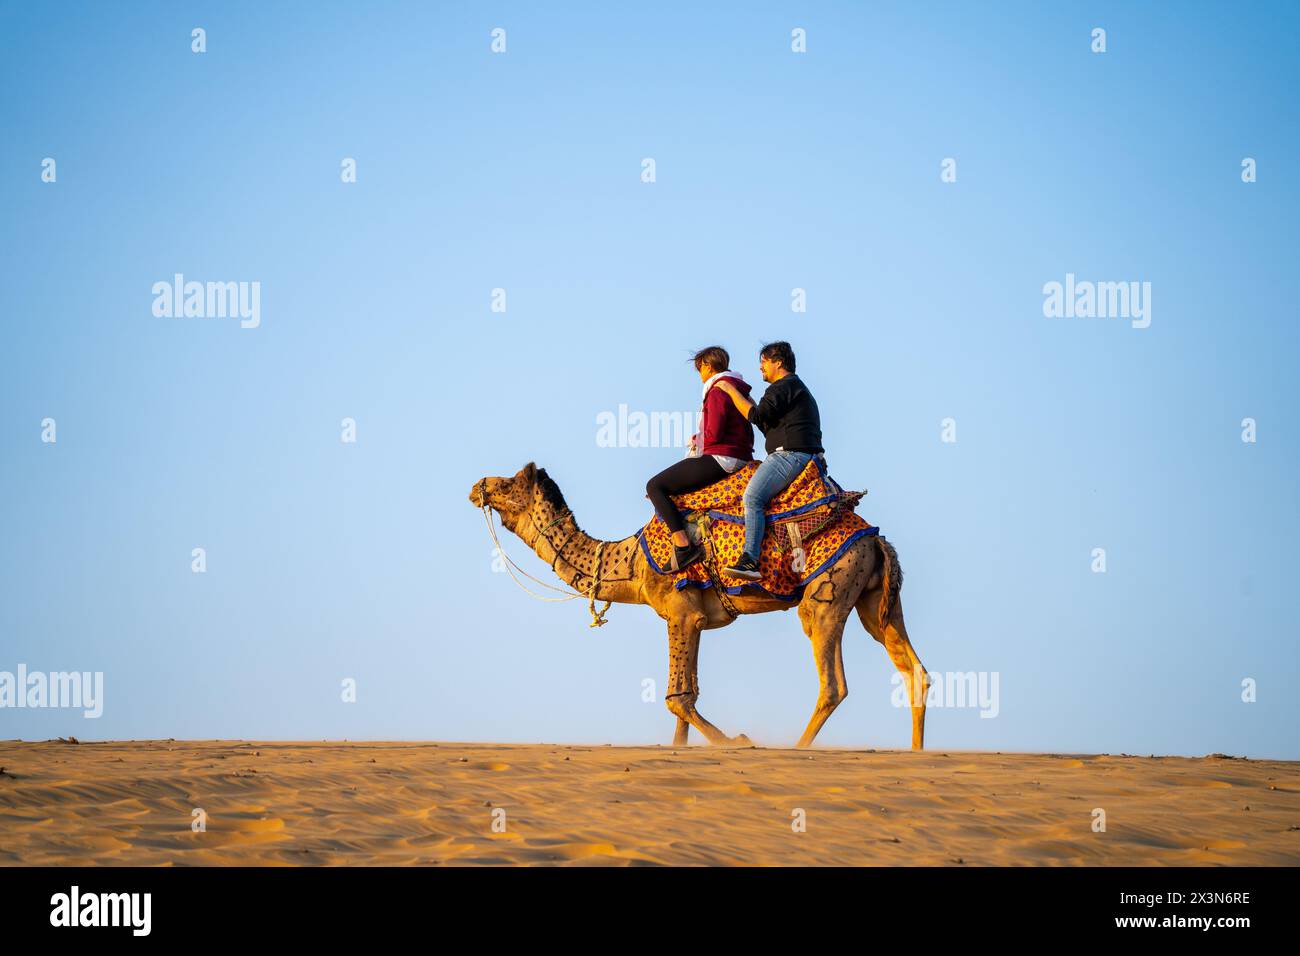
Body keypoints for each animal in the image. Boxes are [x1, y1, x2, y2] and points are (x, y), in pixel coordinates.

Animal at [470, 462, 930, 749]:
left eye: (508, 484)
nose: (478, 486)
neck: (630, 562)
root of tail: (877, 540)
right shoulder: (690, 618)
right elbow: (685, 694)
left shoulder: (681, 611)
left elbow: (677, 697)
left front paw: (739, 741)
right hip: (875, 601)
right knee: (914, 670)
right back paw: (916, 752)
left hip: (826, 595)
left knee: (833, 682)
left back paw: (797, 747)